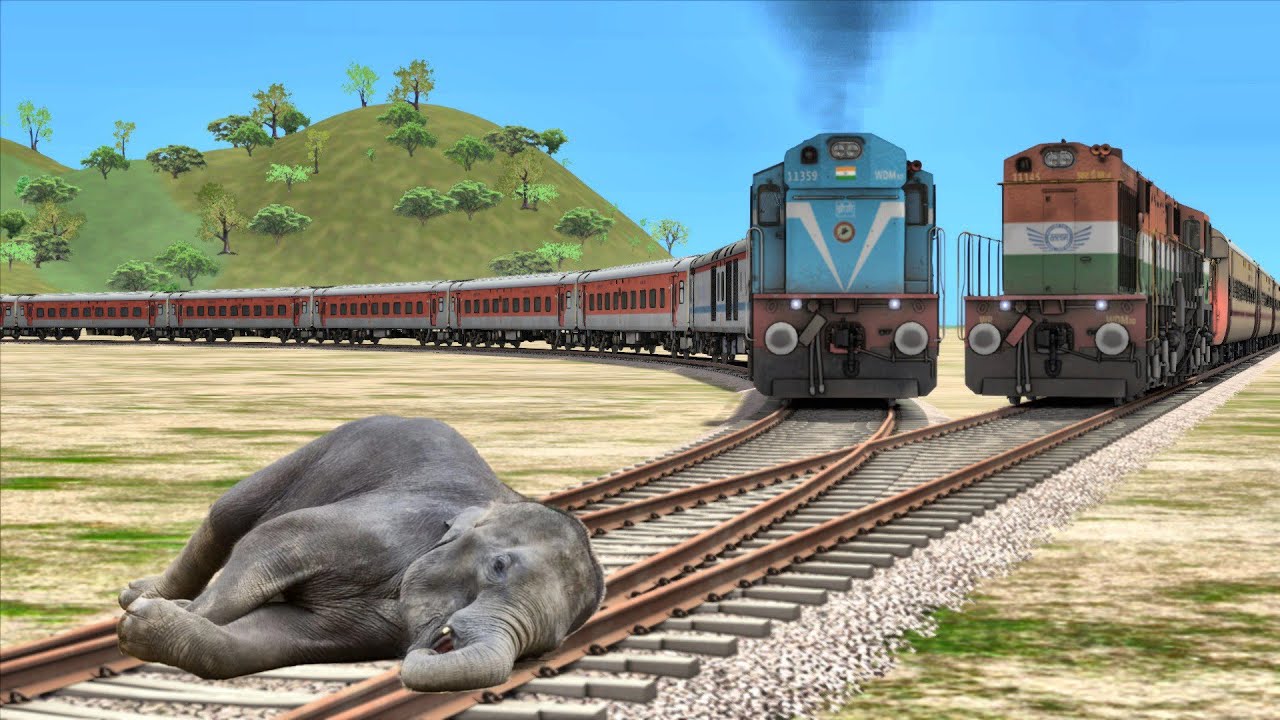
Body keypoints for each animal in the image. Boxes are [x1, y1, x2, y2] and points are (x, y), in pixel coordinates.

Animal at [116, 415, 605, 693]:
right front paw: (157, 612)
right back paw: (139, 593)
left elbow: (274, 635)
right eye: (499, 566)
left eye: (544, 649)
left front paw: (148, 624)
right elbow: (276, 539)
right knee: (227, 516)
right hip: (314, 453)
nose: (442, 640)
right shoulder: (380, 528)